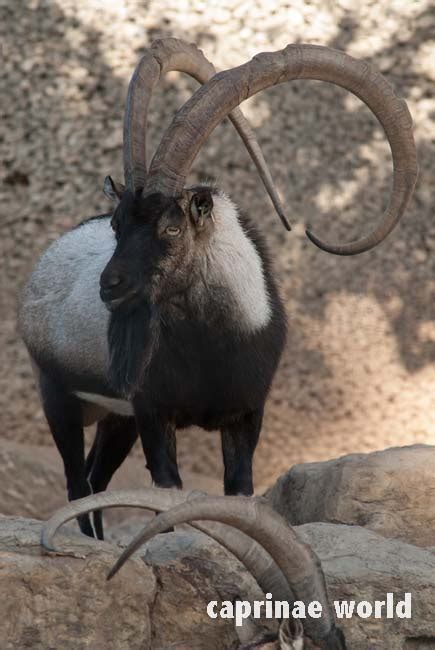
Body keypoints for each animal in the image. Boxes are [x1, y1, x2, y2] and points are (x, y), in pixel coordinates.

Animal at [19, 39, 417, 541]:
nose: (109, 286)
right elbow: (166, 495)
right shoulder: (153, 413)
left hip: (116, 419)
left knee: (95, 478)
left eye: (171, 227)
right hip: (58, 396)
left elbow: (239, 493)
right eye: (116, 224)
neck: (213, 346)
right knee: (78, 483)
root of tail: (43, 266)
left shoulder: (245, 417)